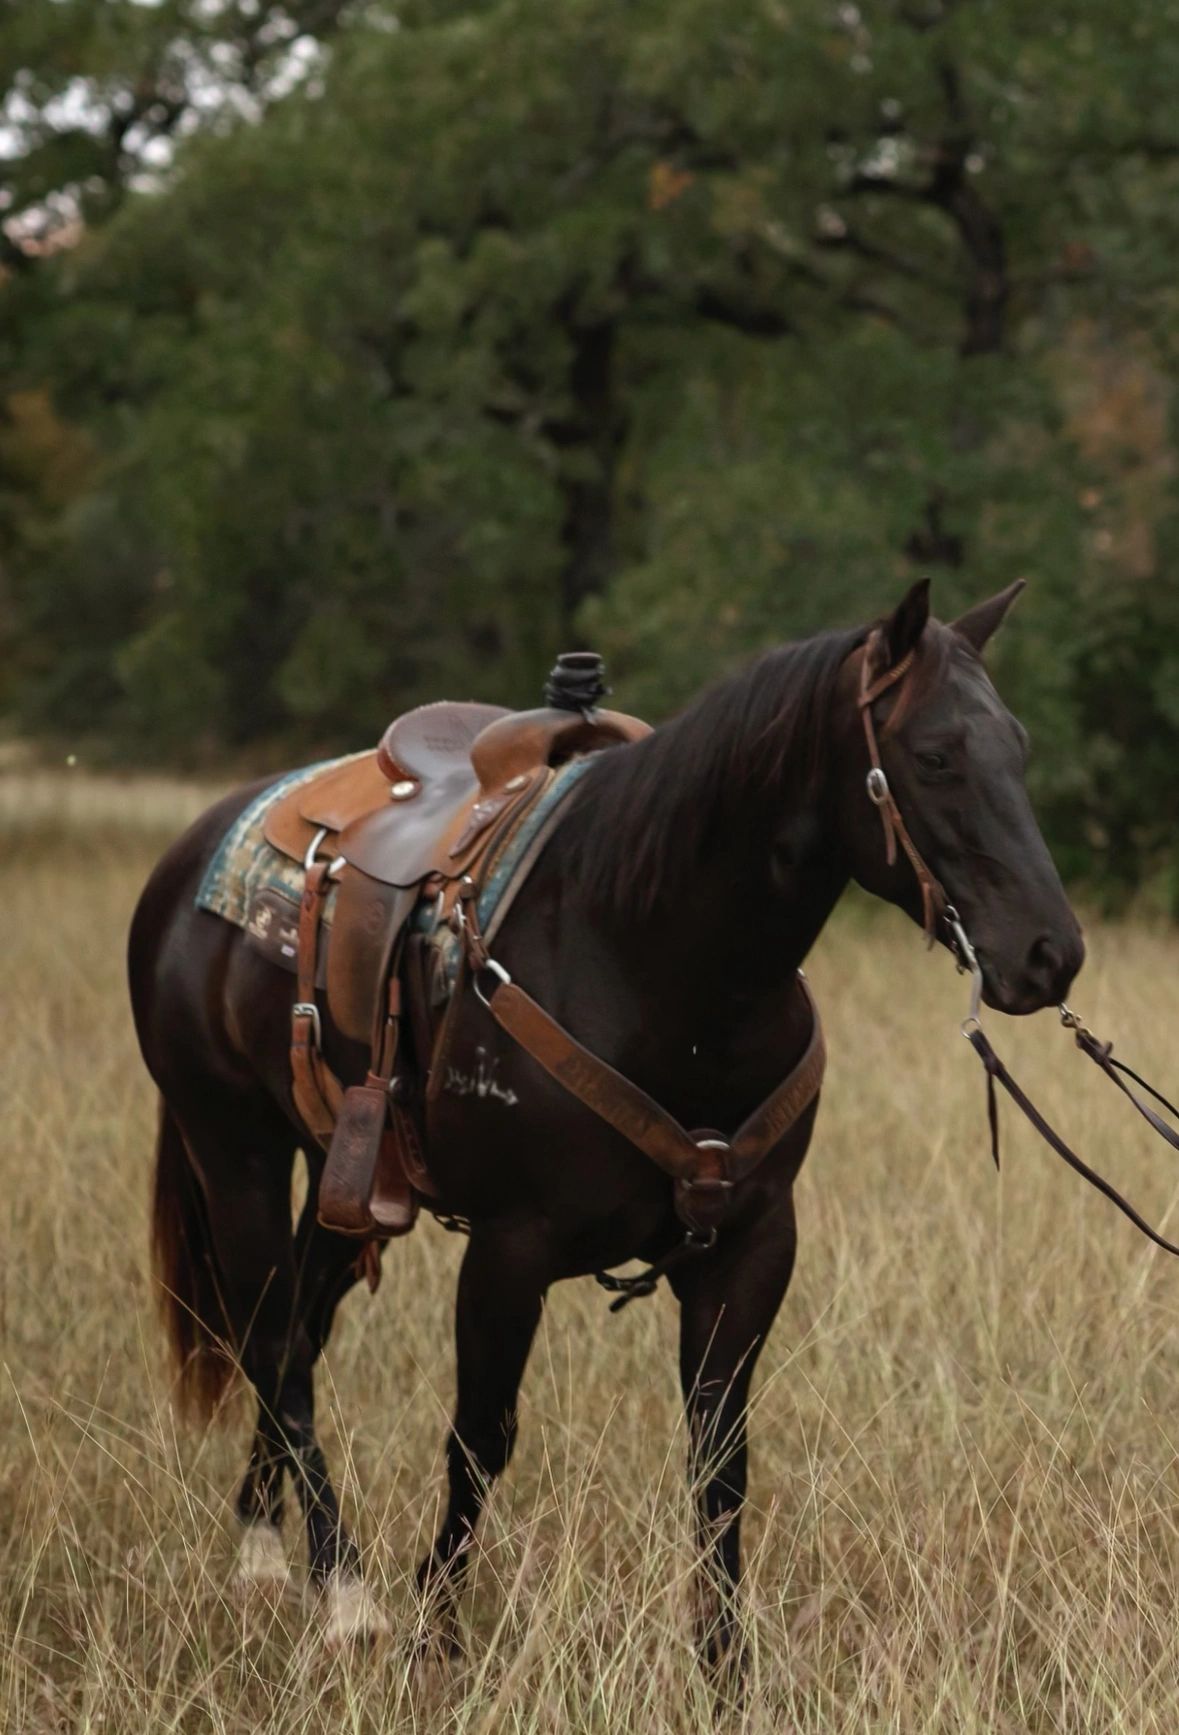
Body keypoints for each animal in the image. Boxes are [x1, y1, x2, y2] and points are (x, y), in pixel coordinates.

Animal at [127, 577, 1083, 1666]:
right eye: (933, 755)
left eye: (1015, 746)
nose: (1050, 953)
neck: (655, 956)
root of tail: (193, 850)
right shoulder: (509, 1249)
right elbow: (479, 1438)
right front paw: (433, 1635)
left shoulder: (752, 1245)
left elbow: (719, 1458)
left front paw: (724, 1666)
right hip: (232, 1148)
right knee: (272, 1345)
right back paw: (341, 1589)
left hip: (343, 1176)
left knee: (296, 1331)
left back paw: (261, 1552)